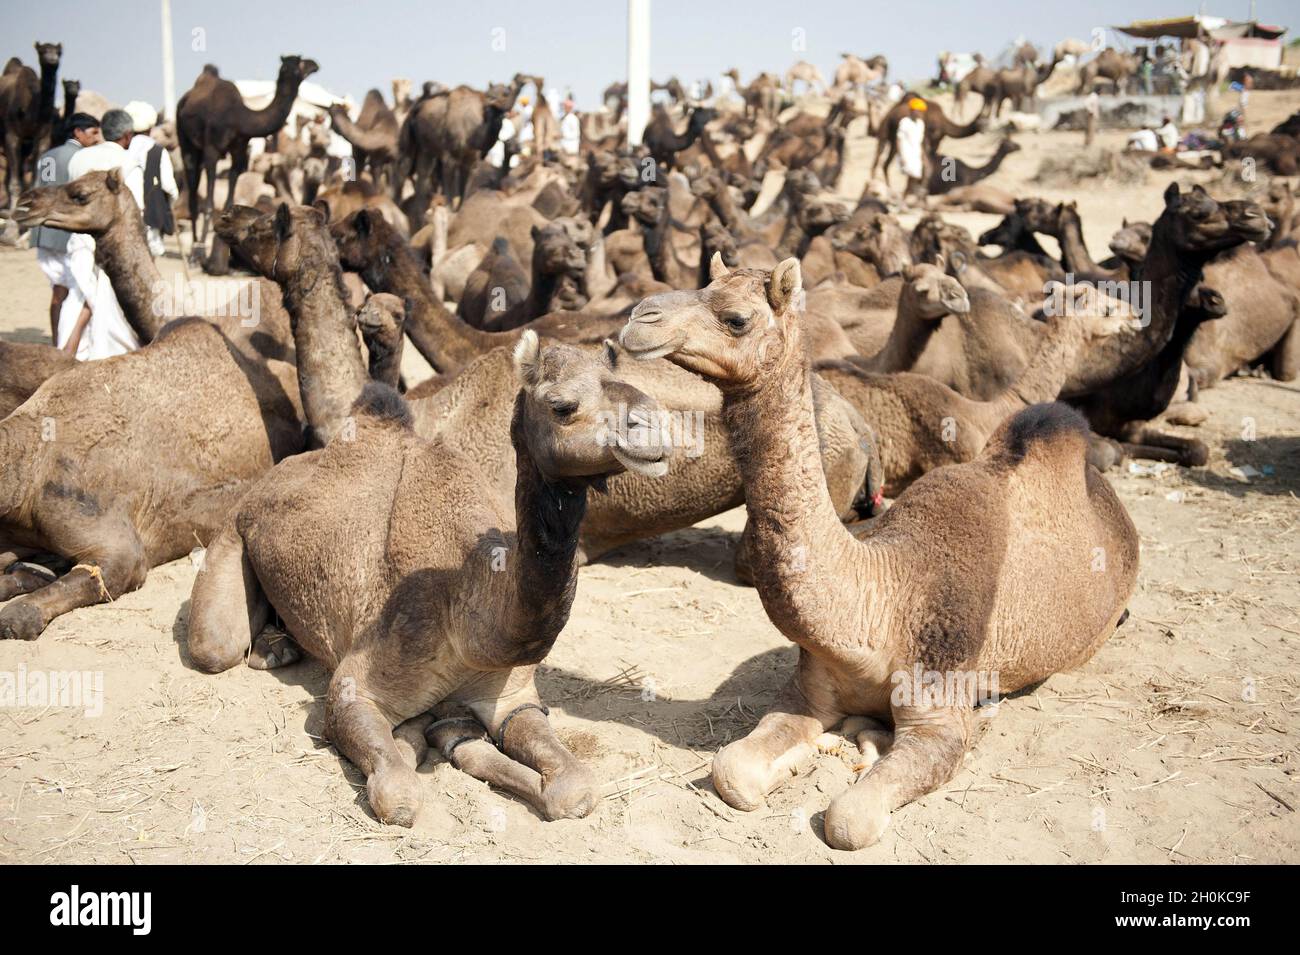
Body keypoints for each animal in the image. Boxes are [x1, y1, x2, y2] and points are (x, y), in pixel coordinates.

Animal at [176, 55, 319, 249]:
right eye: (297, 66)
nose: (314, 65)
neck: (239, 118)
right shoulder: (212, 149)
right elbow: (209, 203)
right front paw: (202, 247)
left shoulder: (239, 150)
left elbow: (229, 200)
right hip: (185, 140)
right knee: (192, 189)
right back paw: (195, 245)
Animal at [186, 331, 670, 826]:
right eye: (562, 406)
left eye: (632, 381)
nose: (652, 425)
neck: (469, 609)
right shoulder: (356, 687)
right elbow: (399, 796)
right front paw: (419, 737)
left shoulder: (512, 694)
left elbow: (574, 788)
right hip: (232, 532)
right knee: (215, 644)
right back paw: (271, 650)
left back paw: (279, 646)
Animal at [620, 258, 1138, 849]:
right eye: (706, 286)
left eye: (735, 318)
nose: (640, 317)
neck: (881, 602)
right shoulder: (805, 691)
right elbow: (732, 770)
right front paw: (817, 751)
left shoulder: (937, 712)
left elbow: (850, 820)